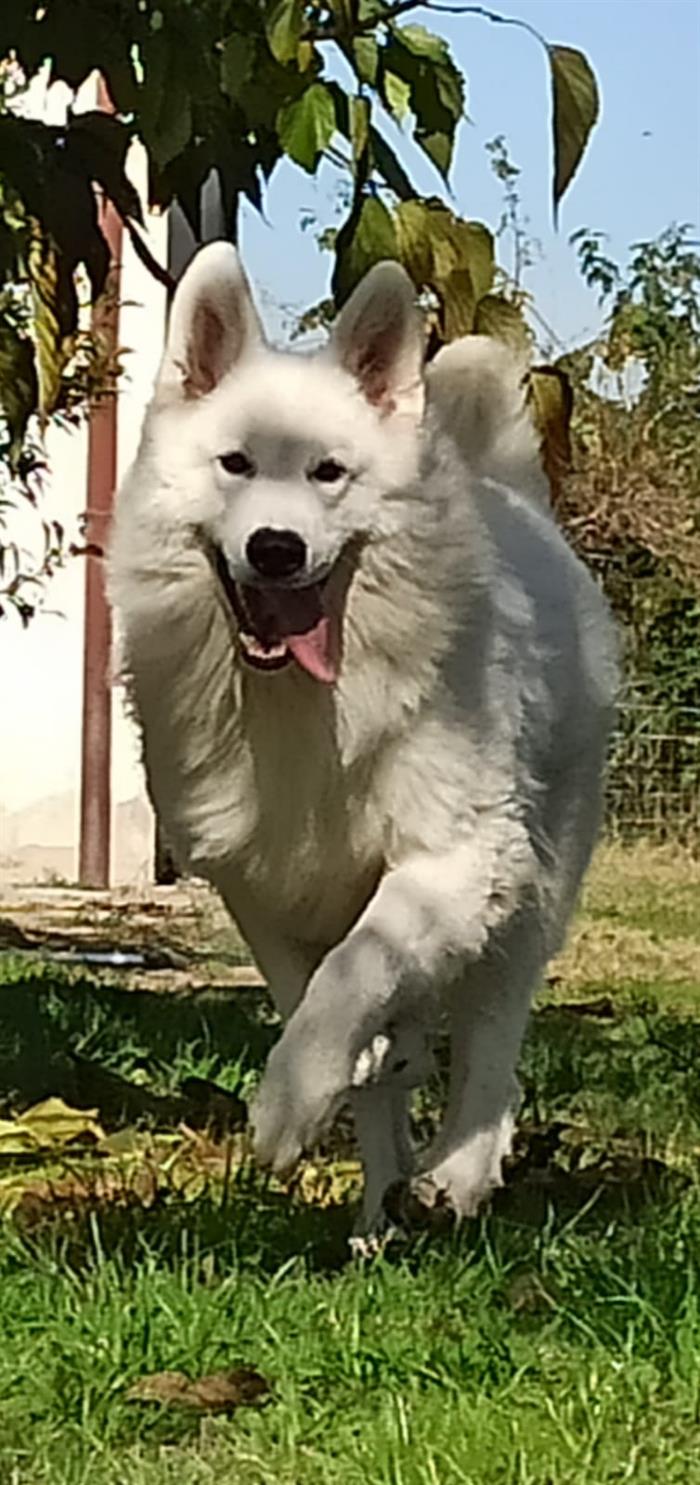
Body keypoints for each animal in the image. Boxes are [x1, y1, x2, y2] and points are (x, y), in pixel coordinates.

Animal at [107, 243, 615, 1241]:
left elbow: (353, 970)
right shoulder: (262, 887)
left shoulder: (455, 860)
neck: (307, 696)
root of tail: (511, 495)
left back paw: (460, 1167)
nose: (274, 546)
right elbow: (319, 993)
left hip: (535, 882)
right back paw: (380, 1208)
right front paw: (353, 1081)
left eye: (329, 473)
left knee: (493, 1038)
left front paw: (288, 1102)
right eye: (235, 464)